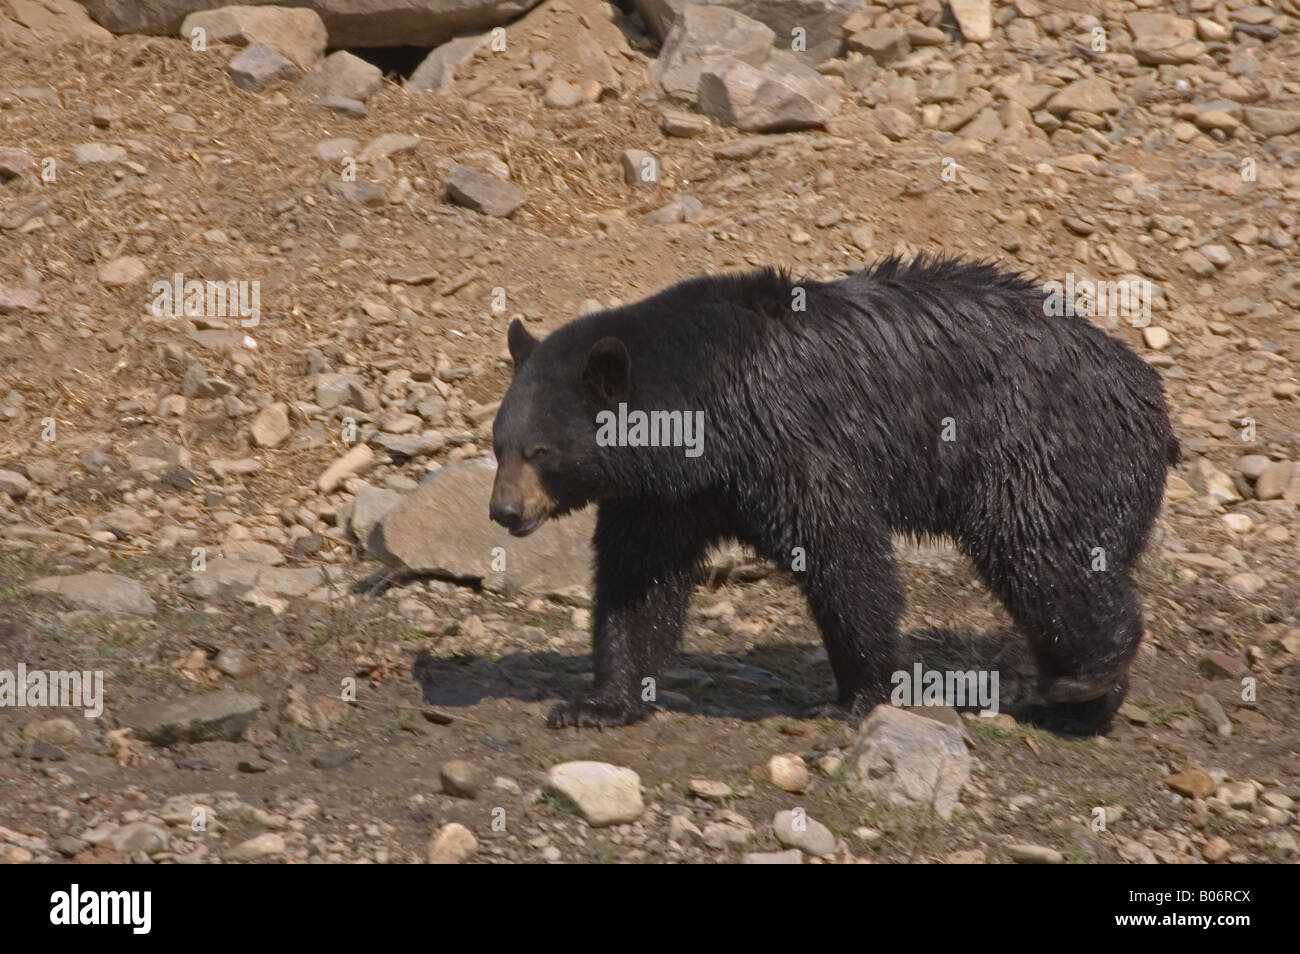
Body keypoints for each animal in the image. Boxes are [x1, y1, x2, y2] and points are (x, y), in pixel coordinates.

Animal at [489, 256, 1179, 734]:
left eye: (540, 451)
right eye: (500, 443)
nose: (502, 511)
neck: (706, 408)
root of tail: (1150, 395)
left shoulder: (785, 440)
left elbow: (841, 551)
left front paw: (858, 694)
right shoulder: (666, 497)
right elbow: (637, 583)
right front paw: (598, 702)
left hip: (1049, 451)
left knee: (1046, 557)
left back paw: (1086, 678)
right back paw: (1082, 702)